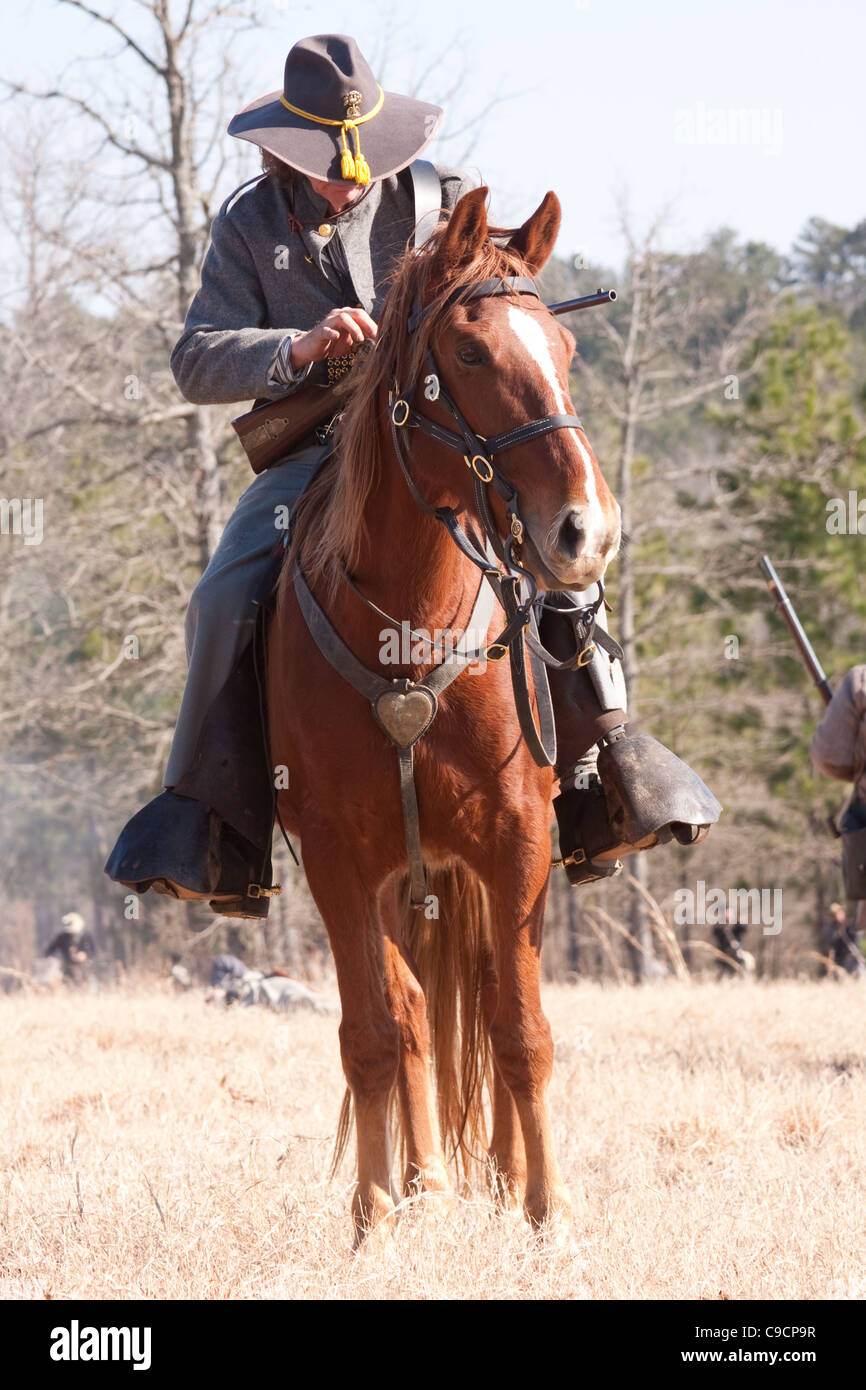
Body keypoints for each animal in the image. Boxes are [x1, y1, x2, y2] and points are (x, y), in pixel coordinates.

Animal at [268, 185, 621, 1244]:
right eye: (468, 354)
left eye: (565, 348)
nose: (584, 531)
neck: (407, 631)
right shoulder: (339, 862)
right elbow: (375, 1032)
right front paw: (375, 1218)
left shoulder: (518, 840)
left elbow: (521, 1028)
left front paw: (548, 1214)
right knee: (417, 1011)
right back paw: (424, 1186)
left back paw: (502, 1179)